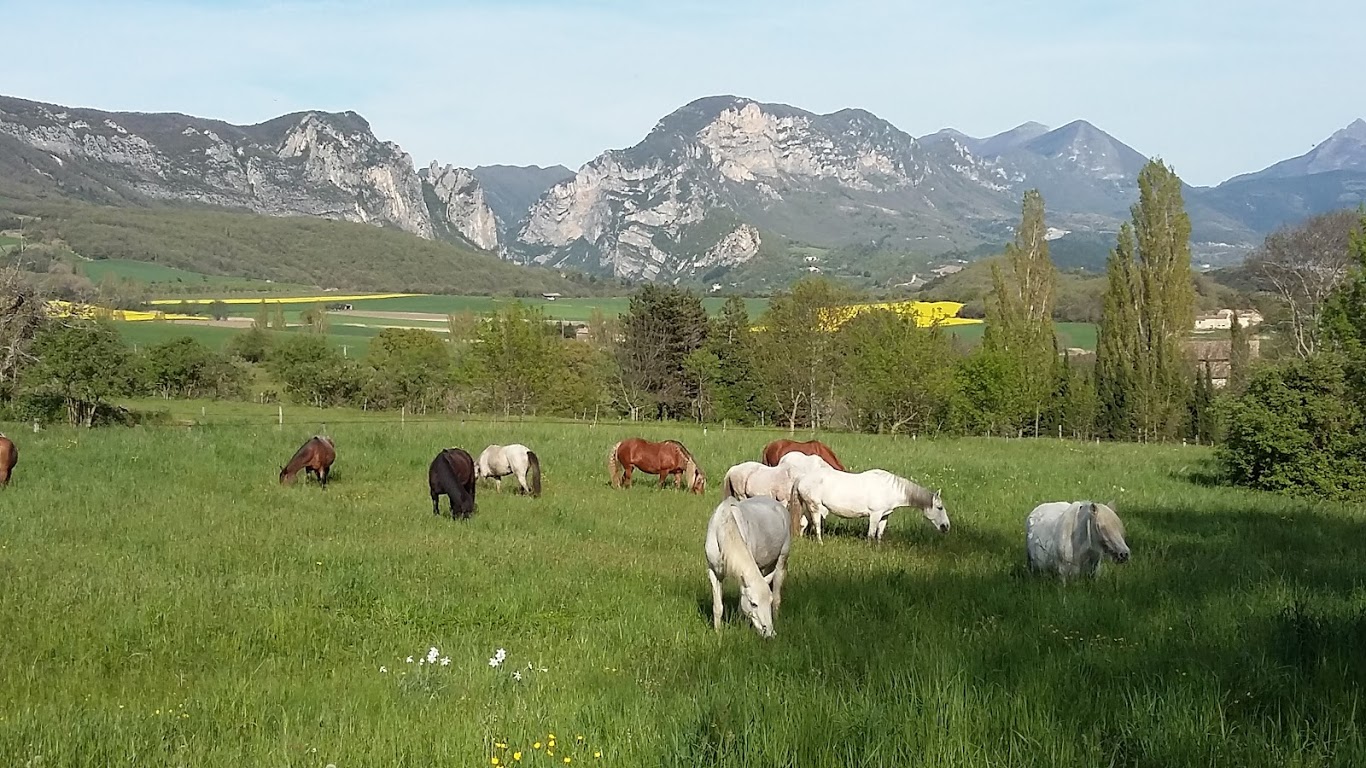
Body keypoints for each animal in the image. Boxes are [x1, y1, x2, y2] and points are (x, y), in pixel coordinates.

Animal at [705, 496, 791, 638]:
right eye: (753, 604)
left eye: (769, 602)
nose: (769, 633)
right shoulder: (714, 573)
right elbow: (718, 606)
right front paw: (718, 632)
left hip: (781, 561)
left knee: (777, 595)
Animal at [788, 465, 948, 543]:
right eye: (939, 508)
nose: (946, 527)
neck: (889, 489)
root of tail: (802, 478)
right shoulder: (875, 515)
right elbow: (871, 534)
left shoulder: (884, 516)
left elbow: (879, 534)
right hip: (814, 507)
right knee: (816, 525)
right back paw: (821, 543)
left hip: (806, 507)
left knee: (802, 524)